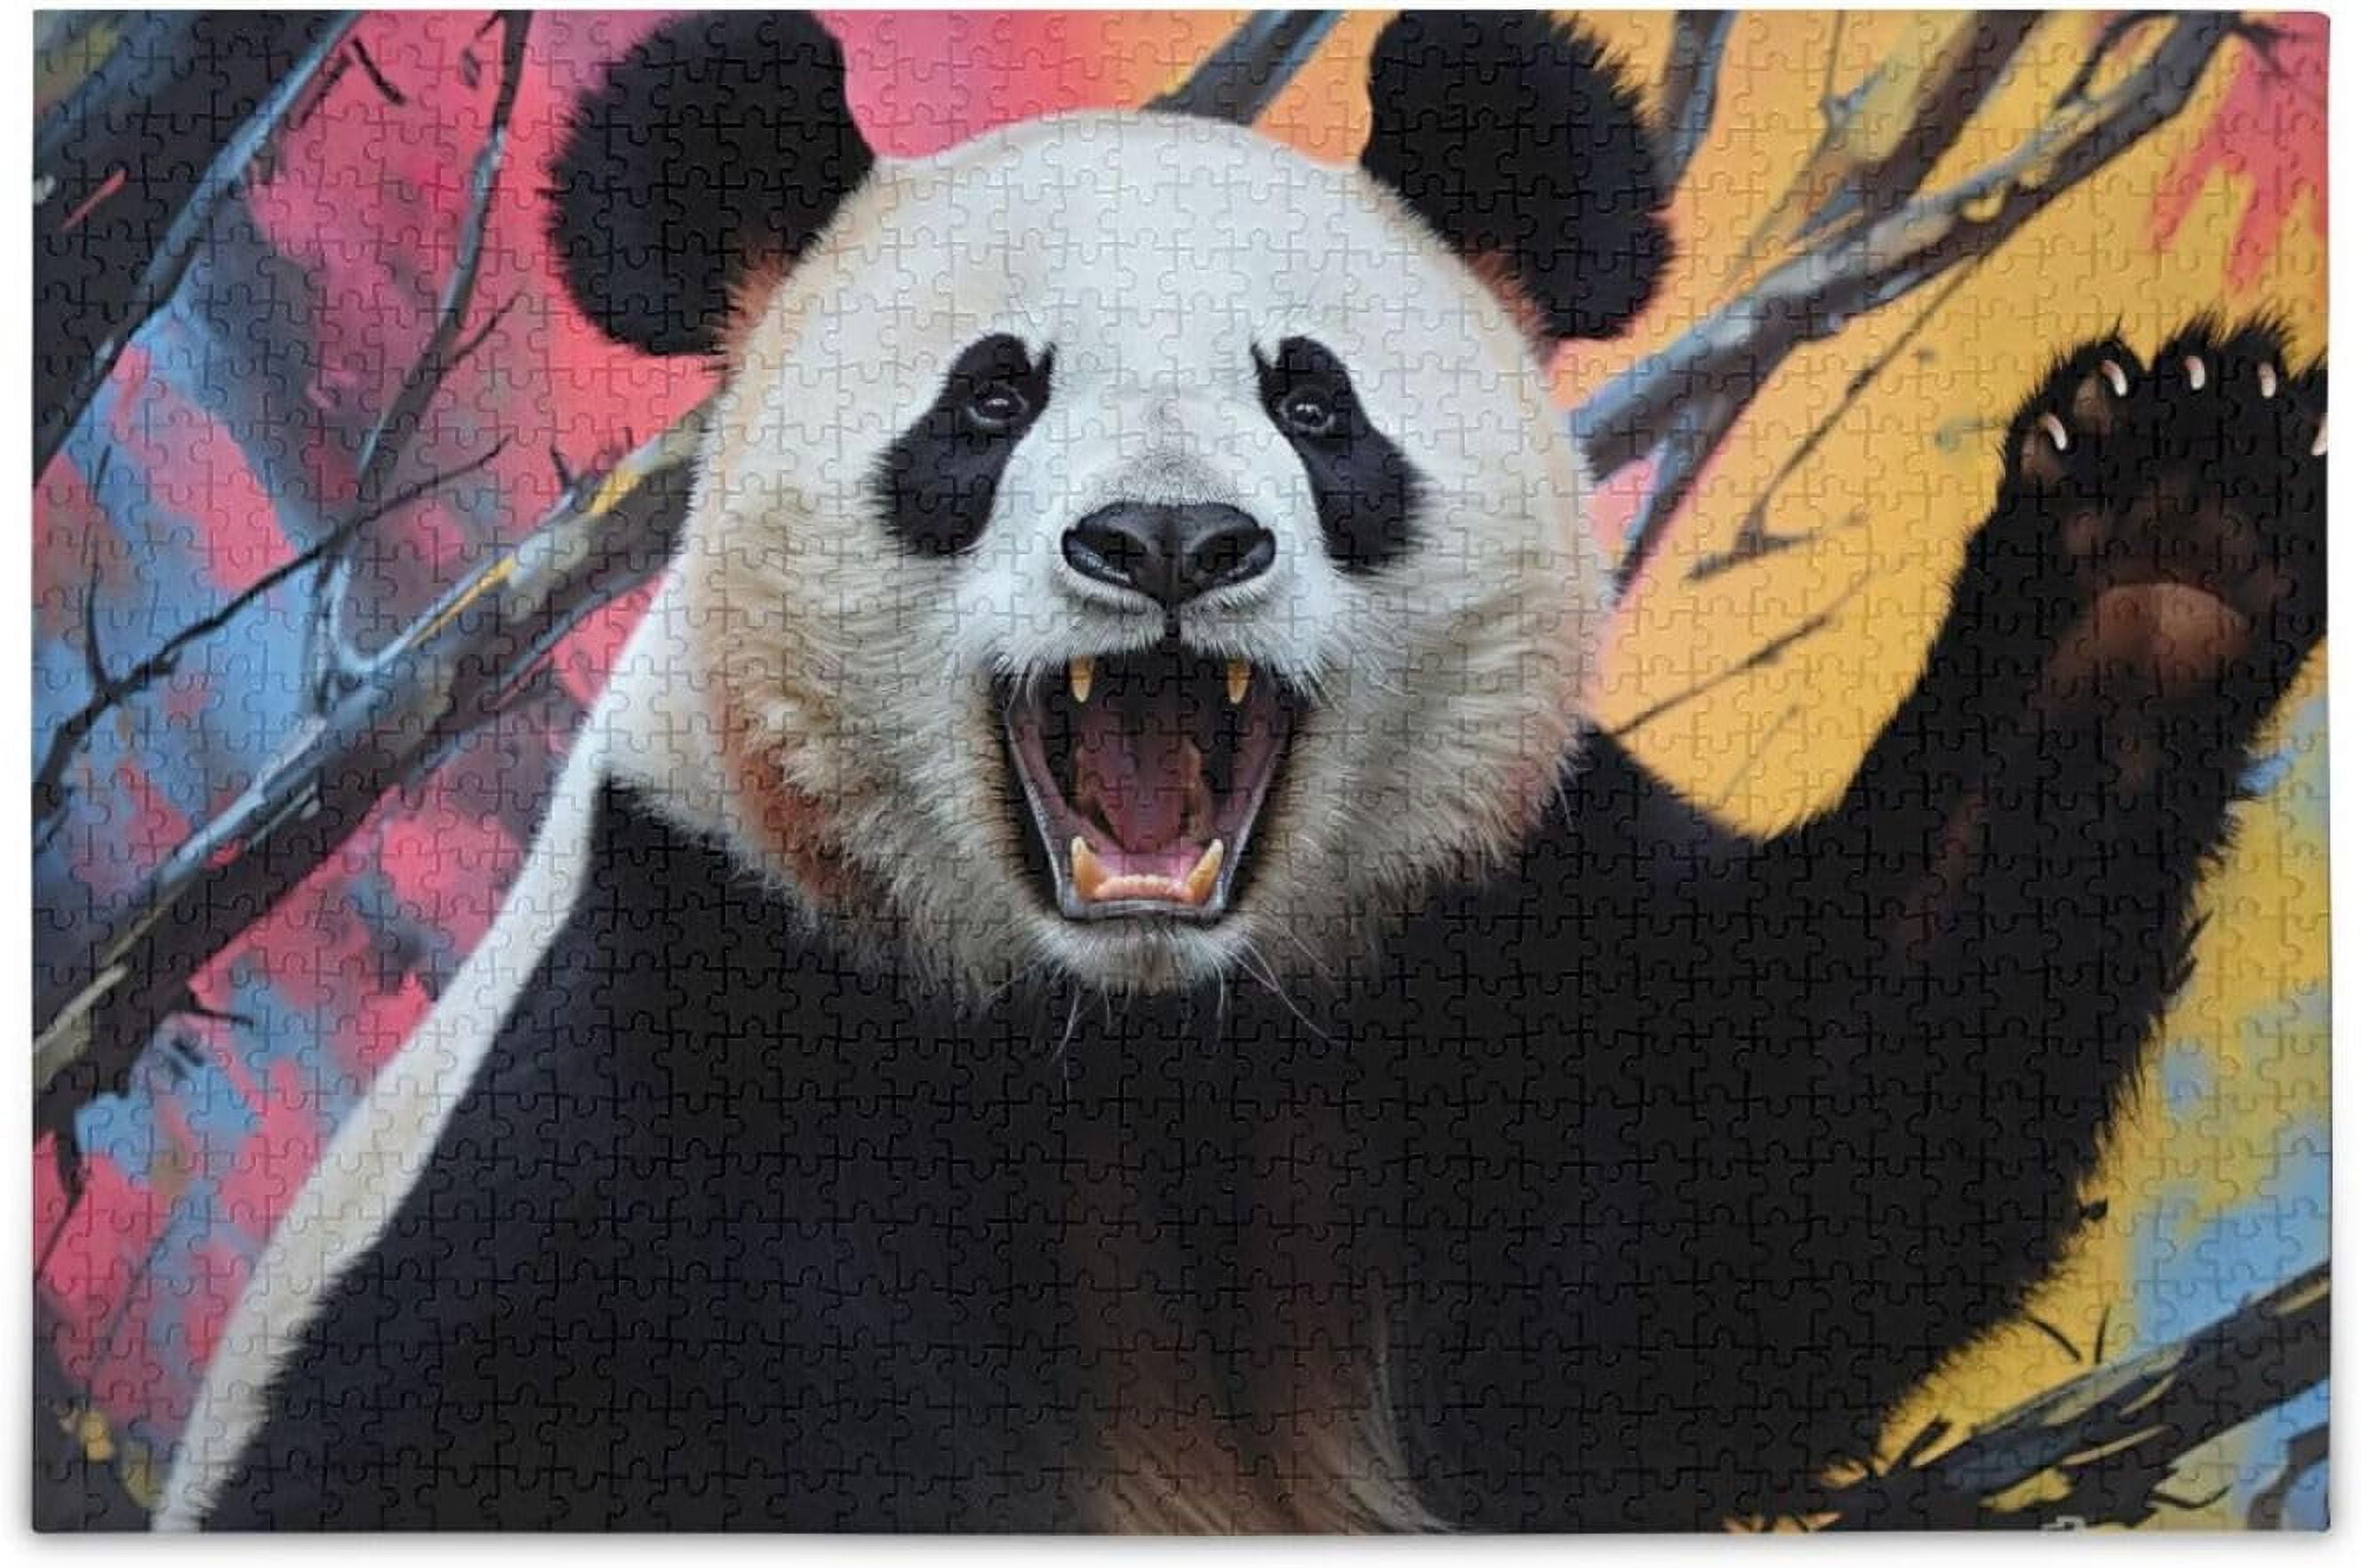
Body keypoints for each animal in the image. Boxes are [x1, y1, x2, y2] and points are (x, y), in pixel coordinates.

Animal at [162, 10, 2325, 1532]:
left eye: (1312, 400)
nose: (1169, 543)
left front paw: (2156, 530)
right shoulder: (691, 1022)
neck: (1138, 1034)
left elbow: (1745, 1205)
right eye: (987, 398)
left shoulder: (1469, 948)